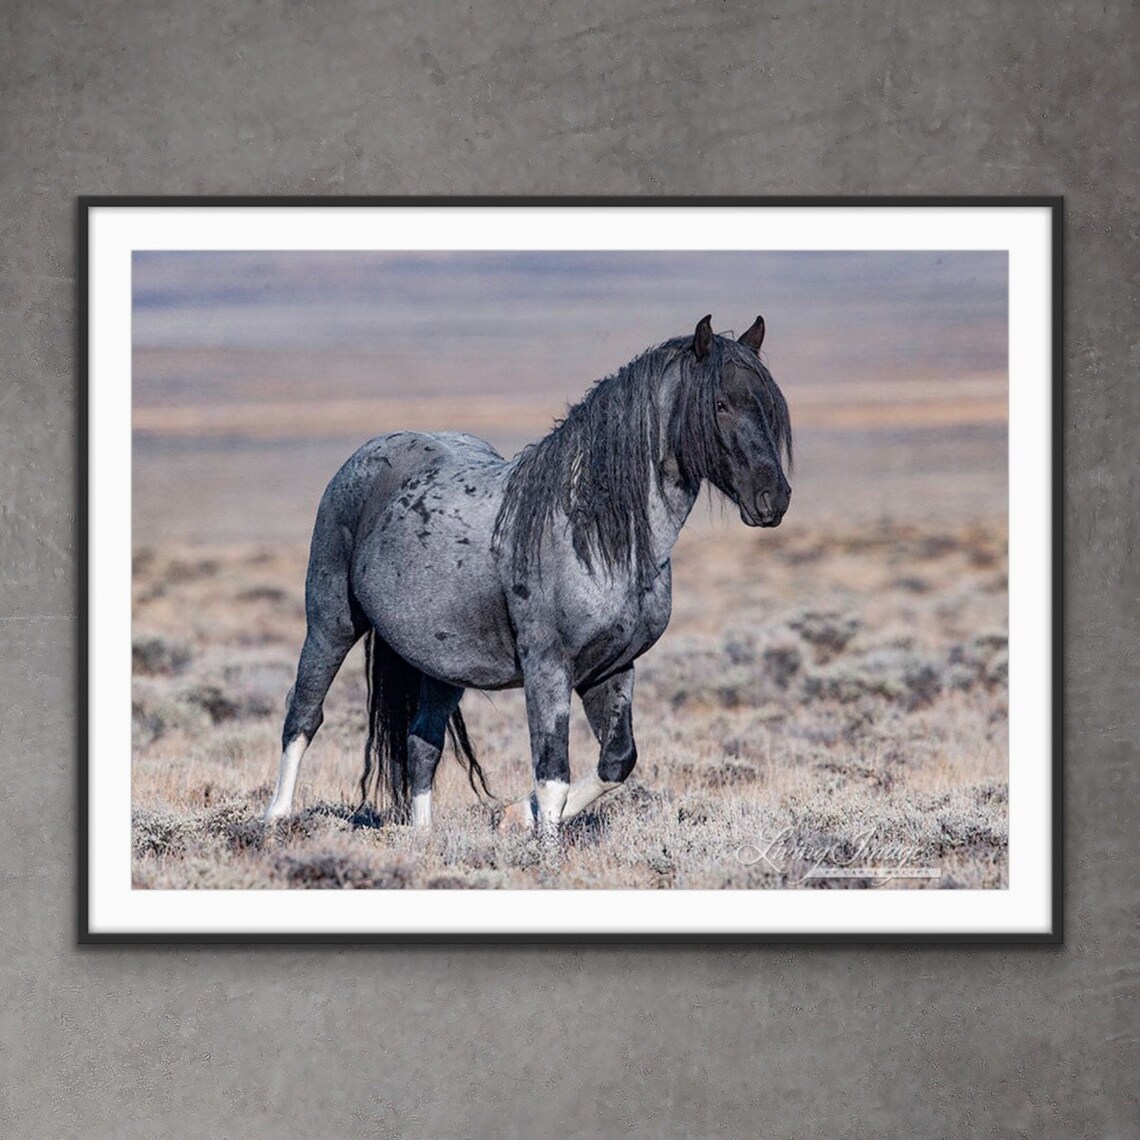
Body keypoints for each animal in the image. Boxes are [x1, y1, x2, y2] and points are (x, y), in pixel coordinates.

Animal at [264, 313, 792, 835]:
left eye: (769, 406)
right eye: (720, 404)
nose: (775, 499)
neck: (593, 533)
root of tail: (367, 456)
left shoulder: (613, 668)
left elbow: (616, 761)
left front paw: (515, 814)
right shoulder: (548, 668)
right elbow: (553, 776)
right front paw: (534, 831)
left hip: (440, 665)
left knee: (421, 744)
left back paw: (423, 837)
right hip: (331, 626)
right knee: (303, 714)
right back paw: (277, 818)